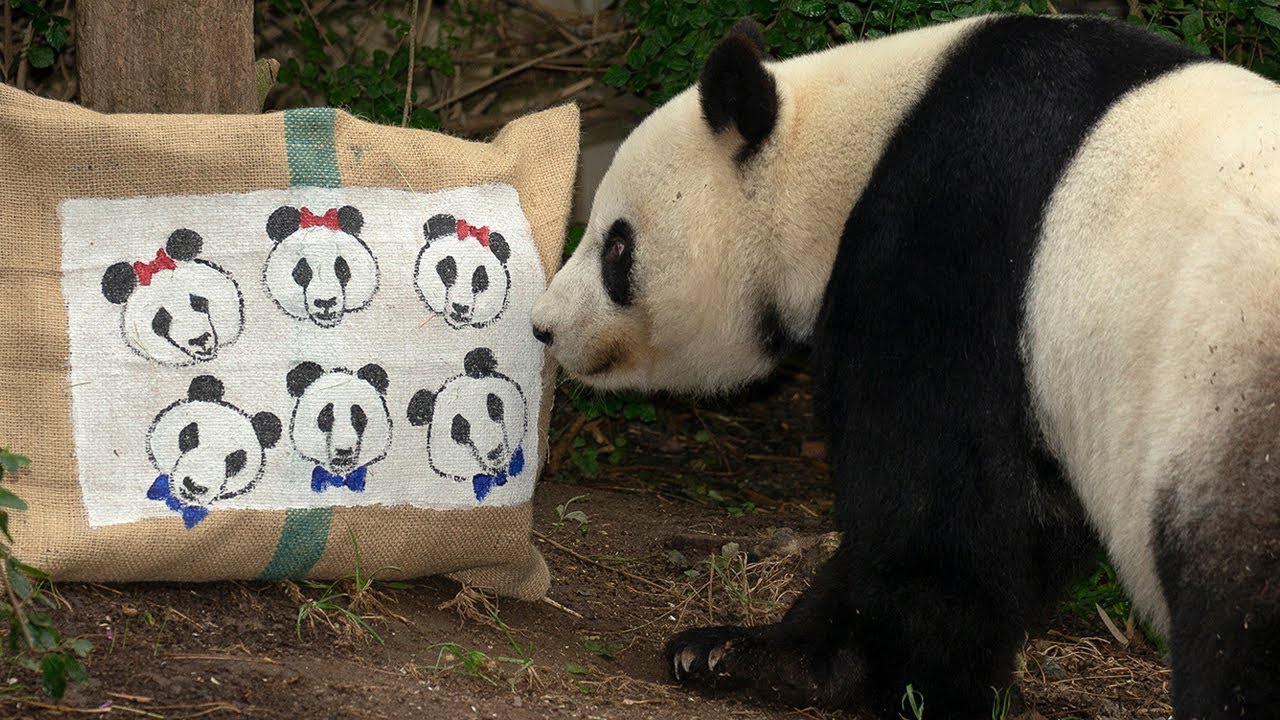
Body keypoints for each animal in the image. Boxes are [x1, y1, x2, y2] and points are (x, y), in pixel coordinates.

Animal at [531, 15, 1280, 720]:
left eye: (616, 247)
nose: (544, 325)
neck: (851, 147)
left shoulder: (950, 253)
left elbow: (935, 502)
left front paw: (893, 684)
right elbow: (1024, 516)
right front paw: (742, 652)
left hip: (1229, 404)